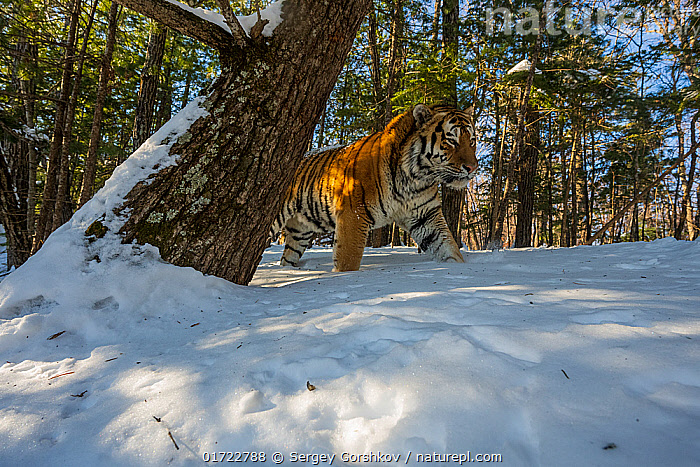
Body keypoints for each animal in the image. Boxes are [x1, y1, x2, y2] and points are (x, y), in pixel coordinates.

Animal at [270, 104, 478, 272]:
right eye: (451, 140)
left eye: (472, 141)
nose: (472, 168)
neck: (416, 178)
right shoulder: (353, 215)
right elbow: (348, 260)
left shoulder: (426, 216)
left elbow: (448, 247)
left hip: (299, 233)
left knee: (287, 257)